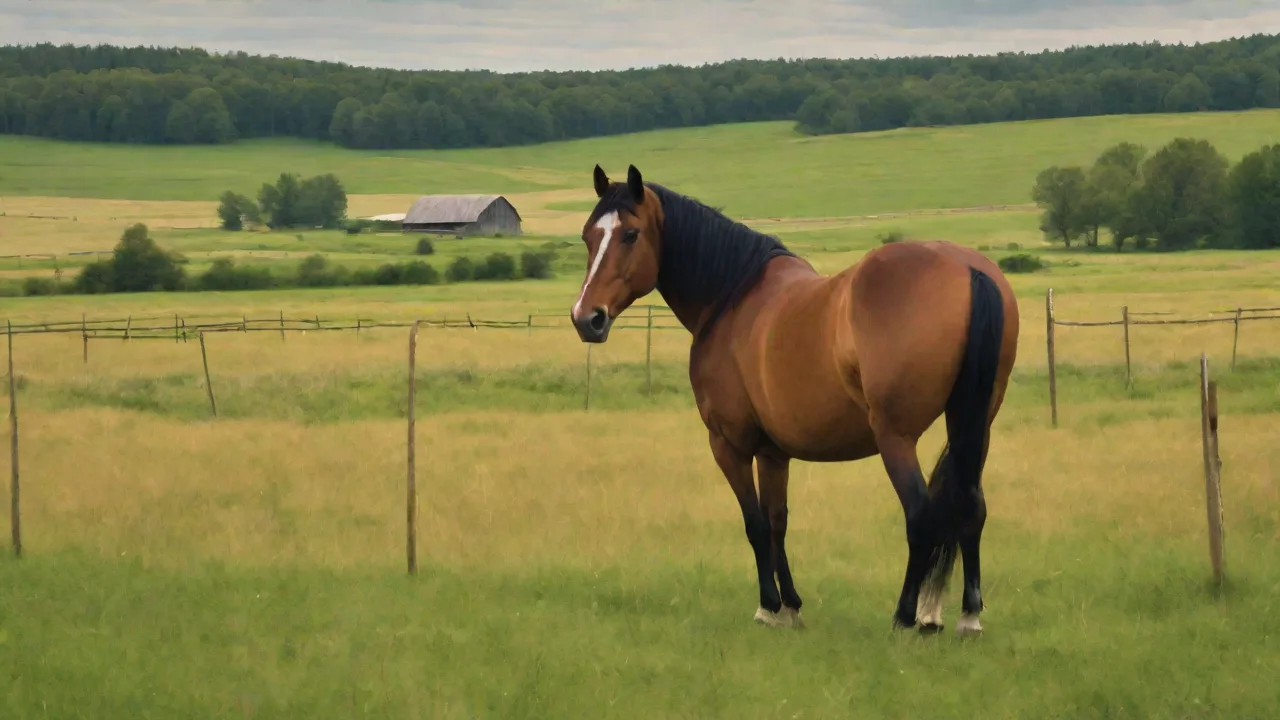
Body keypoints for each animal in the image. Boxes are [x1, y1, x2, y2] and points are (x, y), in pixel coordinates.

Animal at [569, 164, 1020, 635]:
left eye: (630, 234)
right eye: (588, 235)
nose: (587, 318)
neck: (731, 298)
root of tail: (967, 269)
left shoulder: (729, 444)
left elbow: (754, 523)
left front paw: (768, 606)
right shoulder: (773, 452)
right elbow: (777, 521)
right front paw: (791, 606)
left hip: (896, 437)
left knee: (919, 515)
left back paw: (904, 615)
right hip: (974, 426)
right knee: (972, 505)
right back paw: (968, 615)